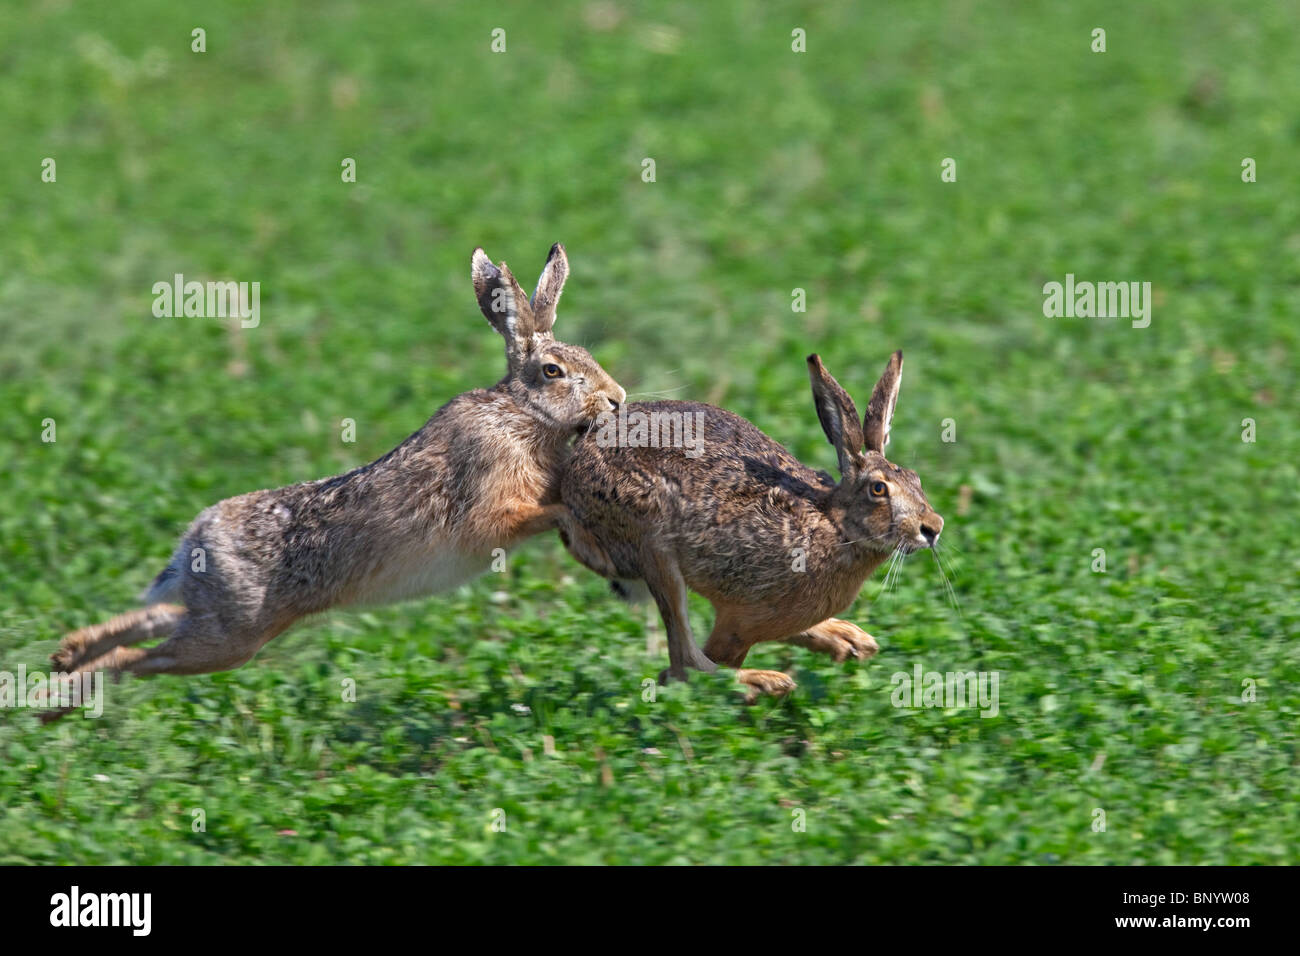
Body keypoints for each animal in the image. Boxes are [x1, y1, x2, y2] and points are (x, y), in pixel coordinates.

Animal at [44, 244, 625, 717]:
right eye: (552, 371)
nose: (617, 398)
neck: (523, 414)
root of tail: (195, 538)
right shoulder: (493, 510)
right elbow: (547, 512)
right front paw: (593, 544)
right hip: (230, 635)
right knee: (144, 655)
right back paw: (59, 699)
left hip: (229, 624)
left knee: (161, 618)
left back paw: (66, 657)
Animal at [556, 350, 942, 700]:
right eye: (878, 489)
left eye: (915, 478)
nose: (933, 527)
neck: (835, 524)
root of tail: (577, 461)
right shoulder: (739, 617)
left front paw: (850, 644)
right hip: (653, 543)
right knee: (684, 665)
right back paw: (770, 681)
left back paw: (848, 640)